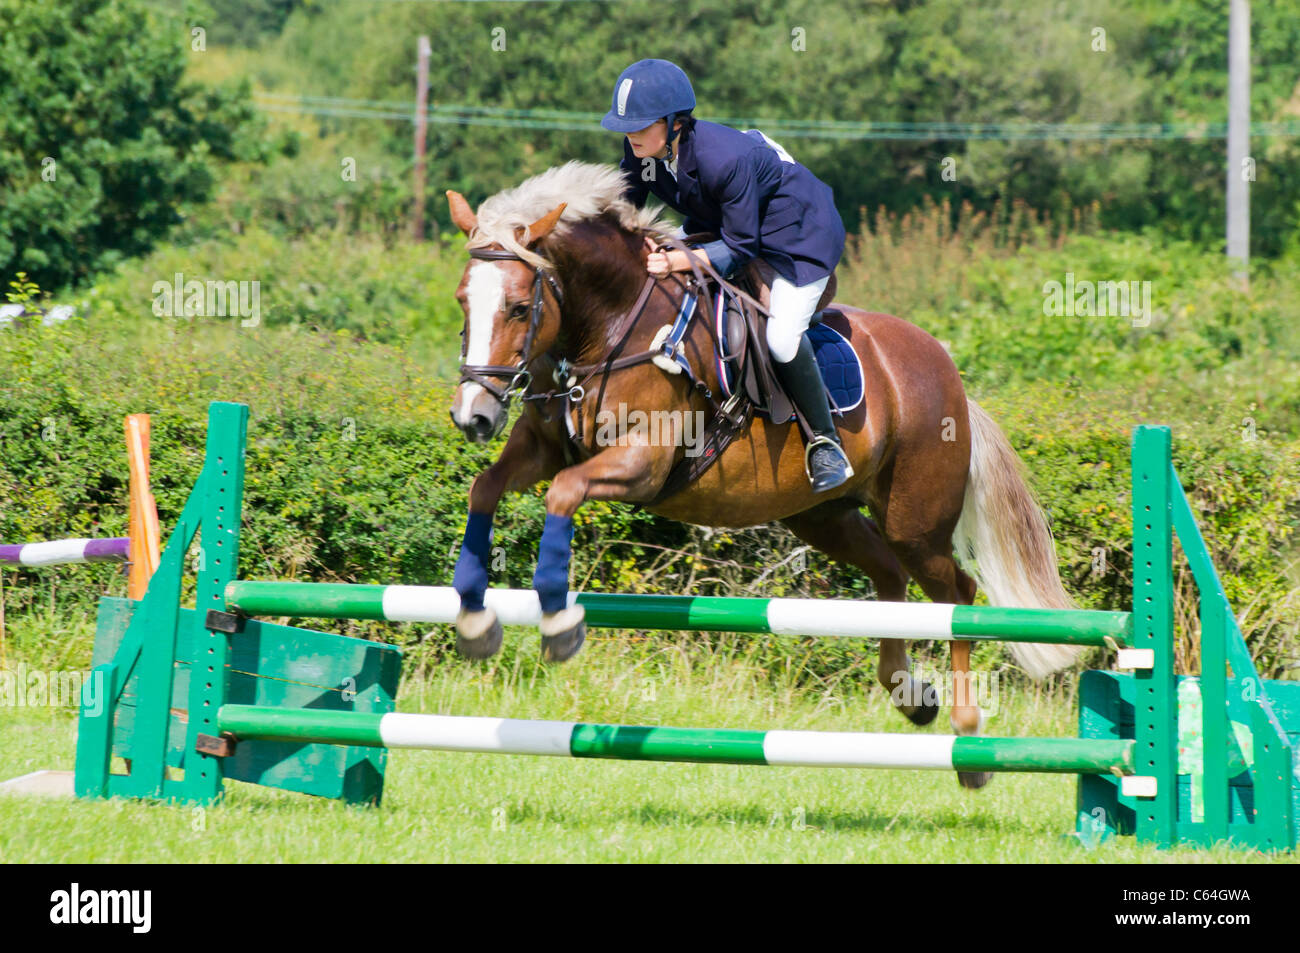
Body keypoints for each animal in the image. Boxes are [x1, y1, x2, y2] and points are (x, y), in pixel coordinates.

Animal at [444, 161, 1079, 788]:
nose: (473, 415)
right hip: (824, 518)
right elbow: (486, 488)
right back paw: (910, 695)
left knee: (957, 595)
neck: (613, 321)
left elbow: (562, 493)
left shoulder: (641, 463)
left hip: (915, 522)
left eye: (520, 307)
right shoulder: (543, 446)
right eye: (462, 301)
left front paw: (559, 624)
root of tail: (949, 374)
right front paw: (476, 623)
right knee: (889, 577)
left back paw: (968, 740)